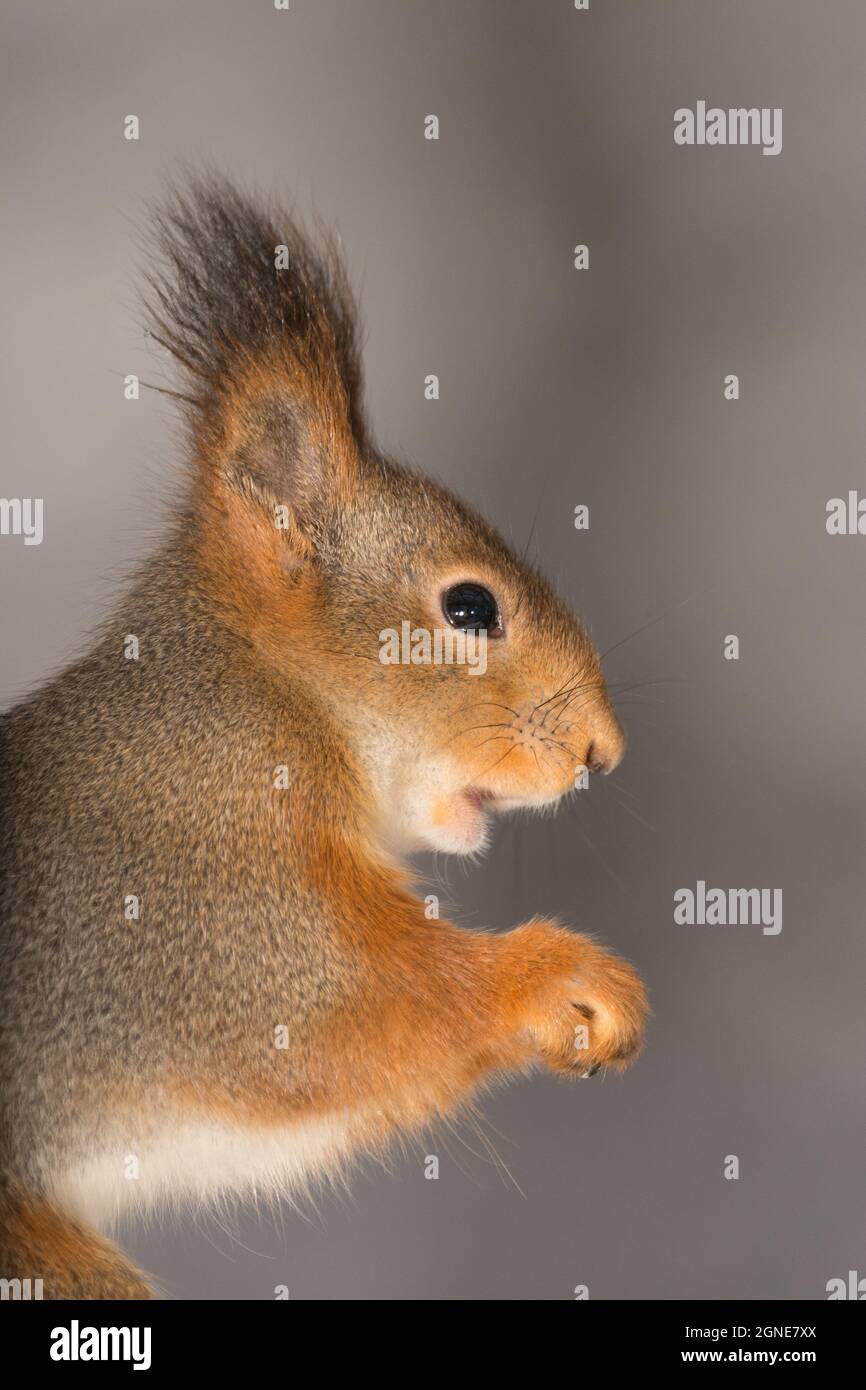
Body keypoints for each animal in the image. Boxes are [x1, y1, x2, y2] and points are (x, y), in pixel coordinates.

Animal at [0, 175, 648, 1299]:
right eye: (469, 607)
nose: (598, 751)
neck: (277, 692)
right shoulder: (200, 878)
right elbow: (332, 1017)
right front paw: (556, 978)